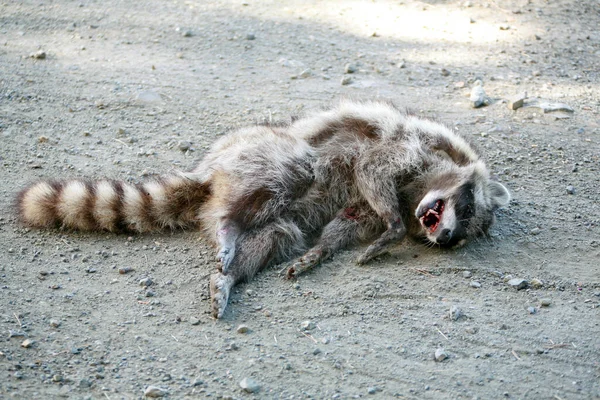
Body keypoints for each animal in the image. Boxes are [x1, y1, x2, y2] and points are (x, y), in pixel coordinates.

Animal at [16, 101, 508, 318]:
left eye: (461, 234)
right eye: (465, 209)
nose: (446, 237)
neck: (421, 188)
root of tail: (208, 170)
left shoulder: (374, 202)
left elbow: (349, 221)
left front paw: (323, 252)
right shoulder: (406, 149)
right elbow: (372, 171)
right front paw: (391, 230)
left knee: (279, 233)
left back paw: (233, 273)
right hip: (260, 154)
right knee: (285, 175)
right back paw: (228, 226)